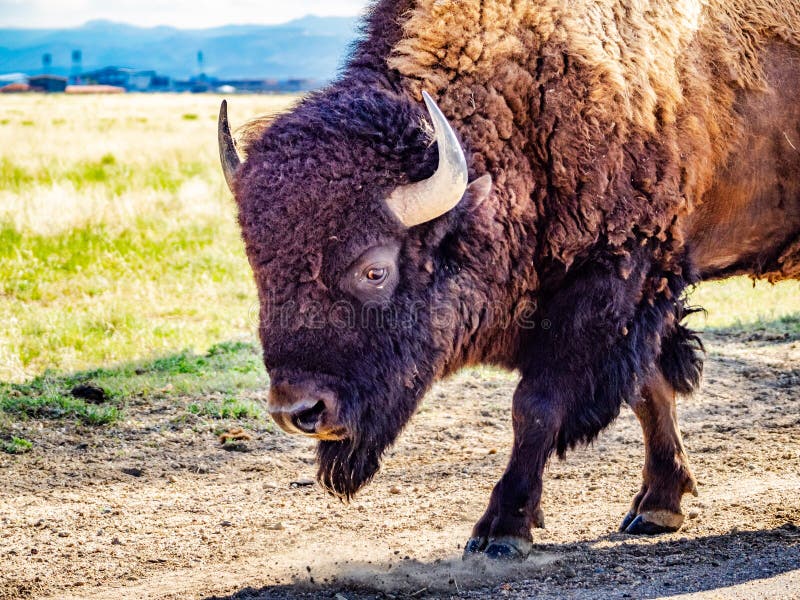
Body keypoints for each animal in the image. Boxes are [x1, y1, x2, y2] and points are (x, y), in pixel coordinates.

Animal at [218, 0, 800, 559]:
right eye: (259, 264)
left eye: (374, 269)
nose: (297, 410)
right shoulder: (638, 307)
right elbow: (647, 390)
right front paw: (657, 506)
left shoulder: (614, 285)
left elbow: (536, 406)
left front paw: (503, 528)